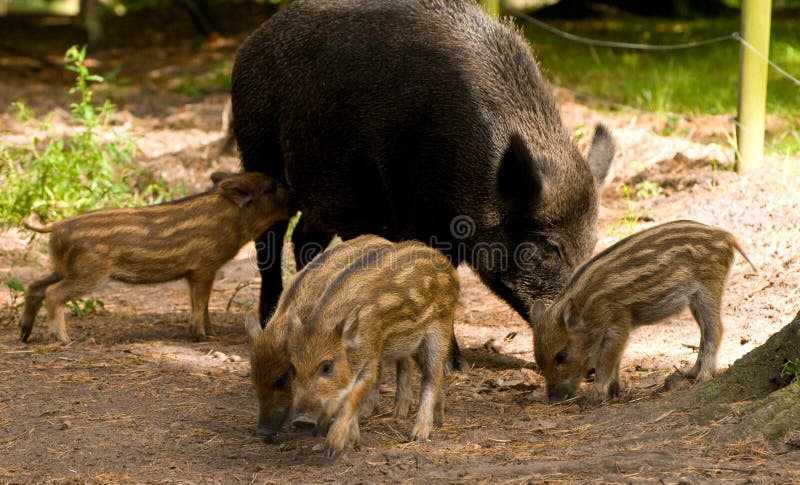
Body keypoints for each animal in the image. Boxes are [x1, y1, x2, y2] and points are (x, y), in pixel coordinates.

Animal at [19, 172, 291, 343]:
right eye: (270, 188)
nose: (294, 197)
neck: (232, 219)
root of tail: (56, 226)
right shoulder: (204, 267)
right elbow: (201, 302)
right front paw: (201, 336)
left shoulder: (194, 273)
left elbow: (200, 304)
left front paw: (210, 334)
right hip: (88, 273)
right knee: (53, 293)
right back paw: (64, 339)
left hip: (62, 267)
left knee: (34, 287)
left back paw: (24, 335)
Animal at [230, 0, 616, 369]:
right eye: (548, 245)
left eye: (591, 243)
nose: (592, 366)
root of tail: (251, 41)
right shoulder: (413, 212)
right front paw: (454, 366)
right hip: (260, 155)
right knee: (269, 240)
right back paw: (267, 322)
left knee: (305, 239)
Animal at [283, 238, 460, 459]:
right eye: (292, 369)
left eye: (327, 367)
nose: (302, 421)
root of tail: (447, 265)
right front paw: (352, 443)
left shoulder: (371, 356)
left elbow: (351, 399)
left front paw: (333, 449)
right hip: (416, 345)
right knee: (433, 374)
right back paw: (438, 421)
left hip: (439, 331)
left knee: (432, 377)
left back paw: (418, 434)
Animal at [530, 220, 757, 404]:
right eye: (539, 360)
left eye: (561, 356)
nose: (553, 400)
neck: (587, 307)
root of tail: (726, 236)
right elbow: (615, 358)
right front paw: (614, 393)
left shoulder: (618, 322)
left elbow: (606, 360)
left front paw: (594, 398)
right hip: (694, 299)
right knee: (704, 332)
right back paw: (690, 373)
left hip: (709, 286)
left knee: (716, 330)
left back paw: (703, 377)